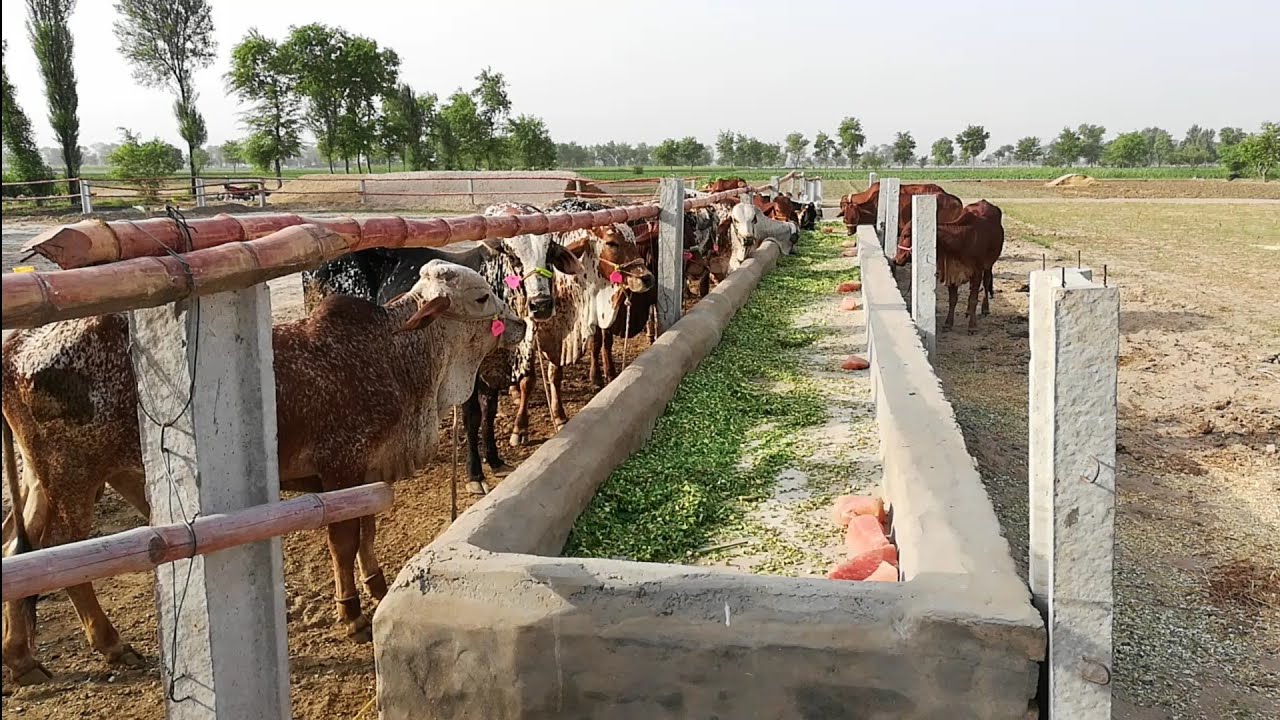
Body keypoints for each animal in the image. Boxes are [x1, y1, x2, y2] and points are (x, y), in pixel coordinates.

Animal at [1, 260, 526, 683]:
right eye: (481, 296)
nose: (520, 321)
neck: (399, 355)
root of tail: (18, 346)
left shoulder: (369, 472)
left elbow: (369, 530)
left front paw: (376, 585)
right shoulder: (341, 467)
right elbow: (344, 541)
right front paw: (352, 614)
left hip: (45, 480)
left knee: (18, 547)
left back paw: (21, 656)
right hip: (74, 476)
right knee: (61, 552)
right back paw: (109, 644)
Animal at [894, 200, 1005, 332]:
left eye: (906, 235)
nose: (897, 259)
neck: (962, 240)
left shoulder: (977, 272)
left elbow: (973, 299)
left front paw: (972, 326)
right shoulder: (952, 273)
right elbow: (953, 300)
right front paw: (948, 323)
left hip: (989, 264)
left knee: (986, 282)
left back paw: (985, 308)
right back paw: (968, 311)